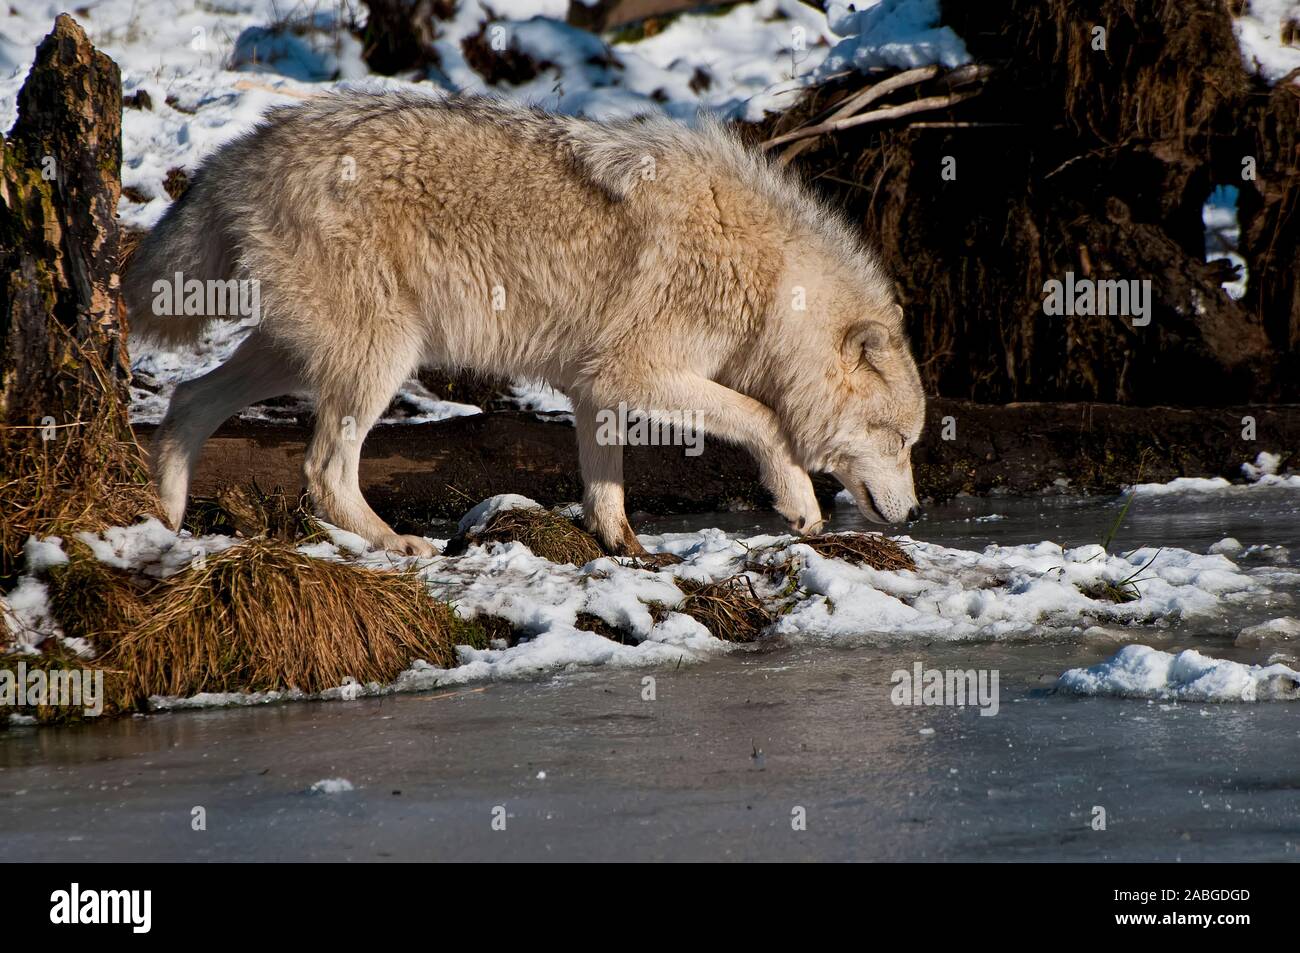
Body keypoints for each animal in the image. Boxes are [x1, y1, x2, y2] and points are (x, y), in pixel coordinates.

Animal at [125, 91, 925, 557]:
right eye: (899, 440)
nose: (916, 514)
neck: (771, 279)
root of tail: (240, 151)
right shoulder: (637, 372)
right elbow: (766, 420)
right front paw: (799, 504)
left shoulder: (598, 386)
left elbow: (605, 480)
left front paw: (626, 547)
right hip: (380, 357)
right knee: (321, 471)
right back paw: (395, 542)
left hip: (294, 355)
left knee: (186, 400)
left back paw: (165, 523)